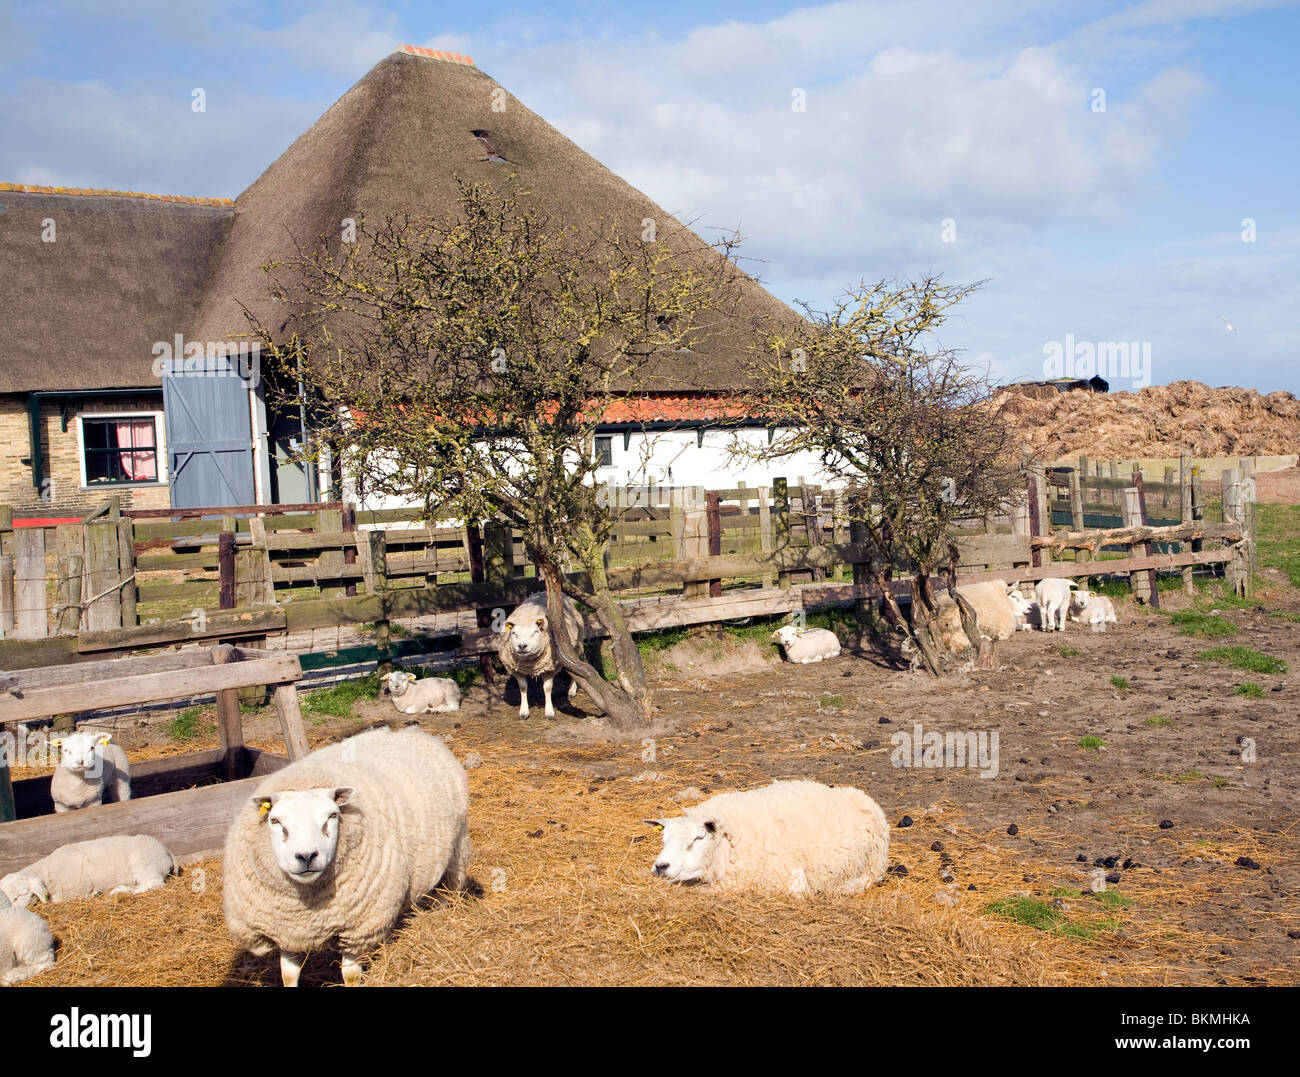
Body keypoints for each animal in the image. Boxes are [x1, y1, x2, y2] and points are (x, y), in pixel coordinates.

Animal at [0, 835, 177, 908]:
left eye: (18, 896)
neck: (47, 871)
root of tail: (166, 850)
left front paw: (94, 894)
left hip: (145, 865)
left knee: (153, 884)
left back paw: (119, 890)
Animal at [222, 725, 470, 987]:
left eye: (332, 816)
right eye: (275, 821)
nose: (307, 856)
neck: (307, 906)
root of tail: (413, 732)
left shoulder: (359, 928)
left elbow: (350, 976)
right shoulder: (288, 930)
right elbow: (288, 975)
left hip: (457, 850)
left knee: (451, 885)